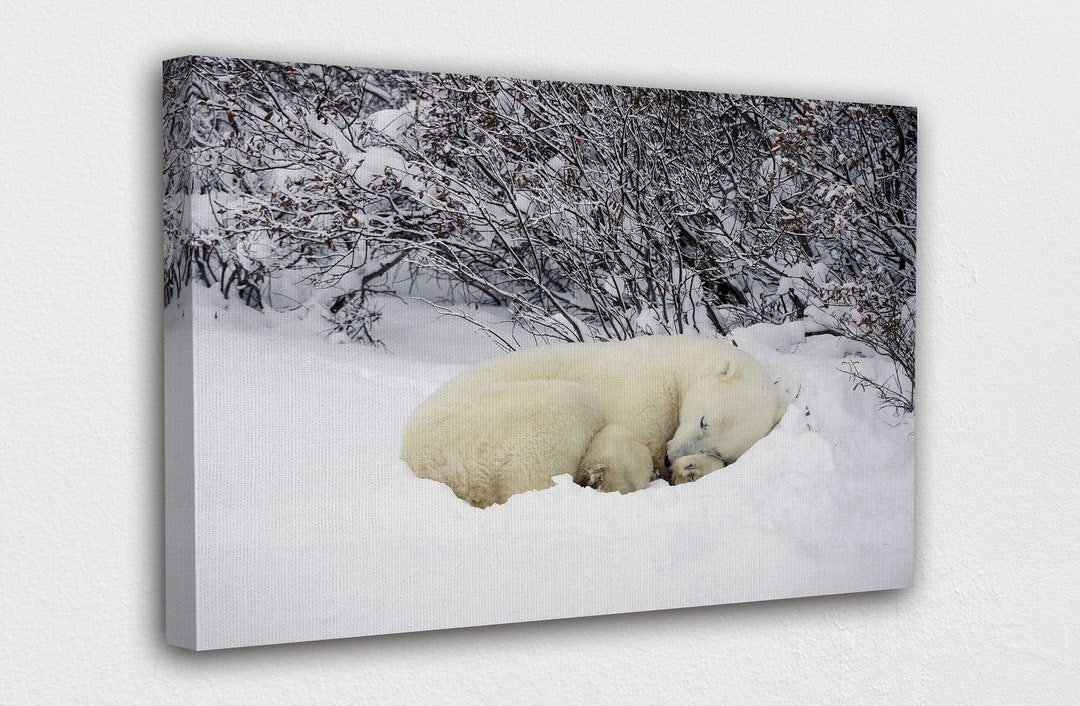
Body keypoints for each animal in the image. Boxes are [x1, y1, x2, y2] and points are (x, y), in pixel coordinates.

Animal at [401, 335, 784, 508]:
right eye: (704, 420)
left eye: (720, 451)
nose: (670, 457)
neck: (677, 361)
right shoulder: (645, 387)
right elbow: (621, 437)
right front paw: (609, 476)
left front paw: (689, 470)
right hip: (485, 427)